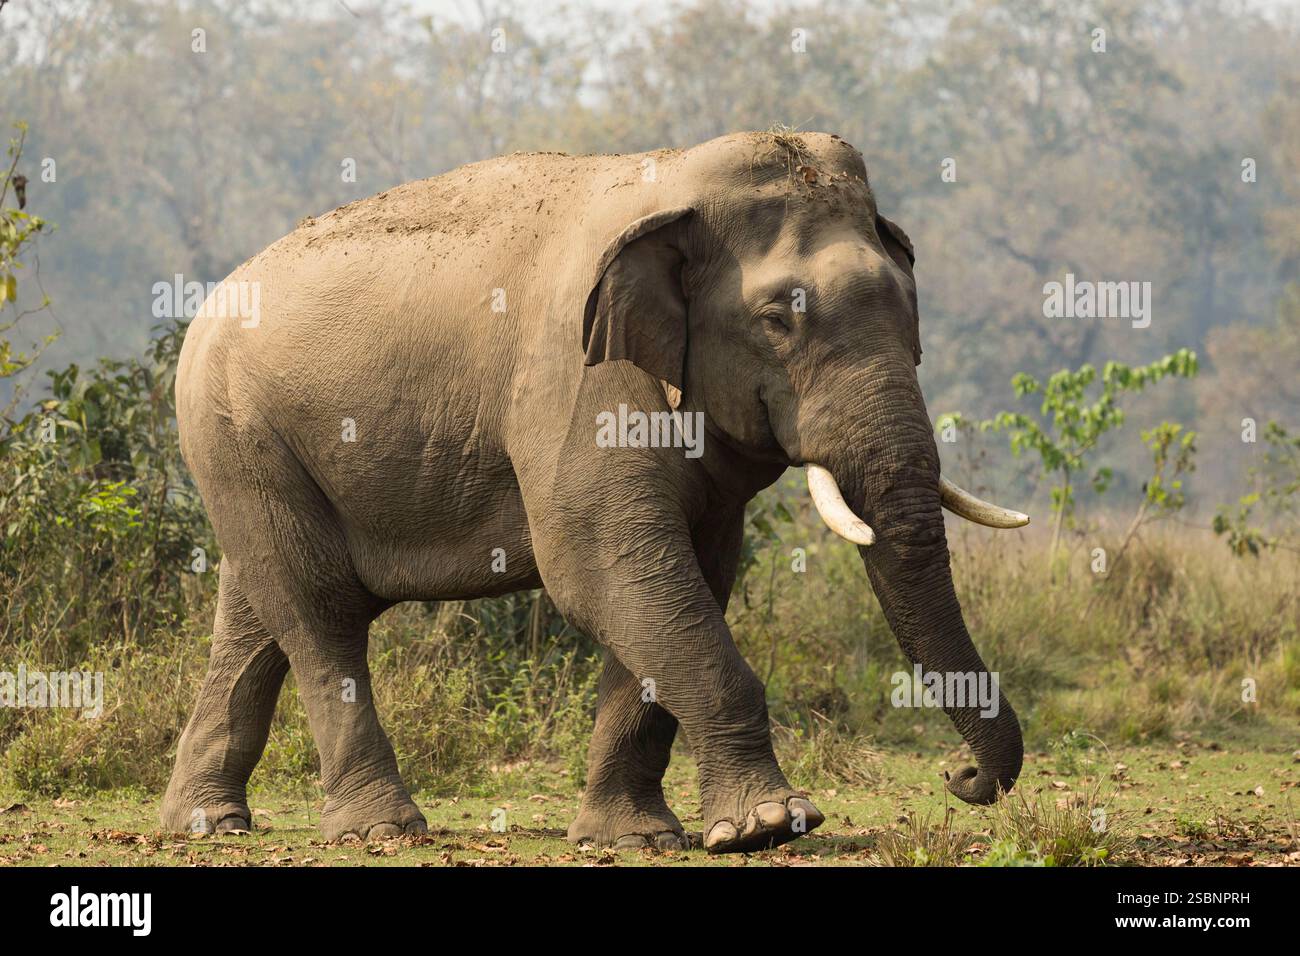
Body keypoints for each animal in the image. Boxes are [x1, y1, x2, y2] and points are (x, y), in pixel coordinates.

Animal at [161, 130, 1028, 853]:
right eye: (780, 320)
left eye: (912, 315)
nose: (959, 775)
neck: (676, 175)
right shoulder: (579, 386)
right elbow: (606, 570)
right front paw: (769, 825)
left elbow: (681, 580)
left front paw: (634, 838)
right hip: (236, 431)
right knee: (320, 610)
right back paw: (382, 831)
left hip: (250, 447)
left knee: (256, 613)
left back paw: (205, 823)